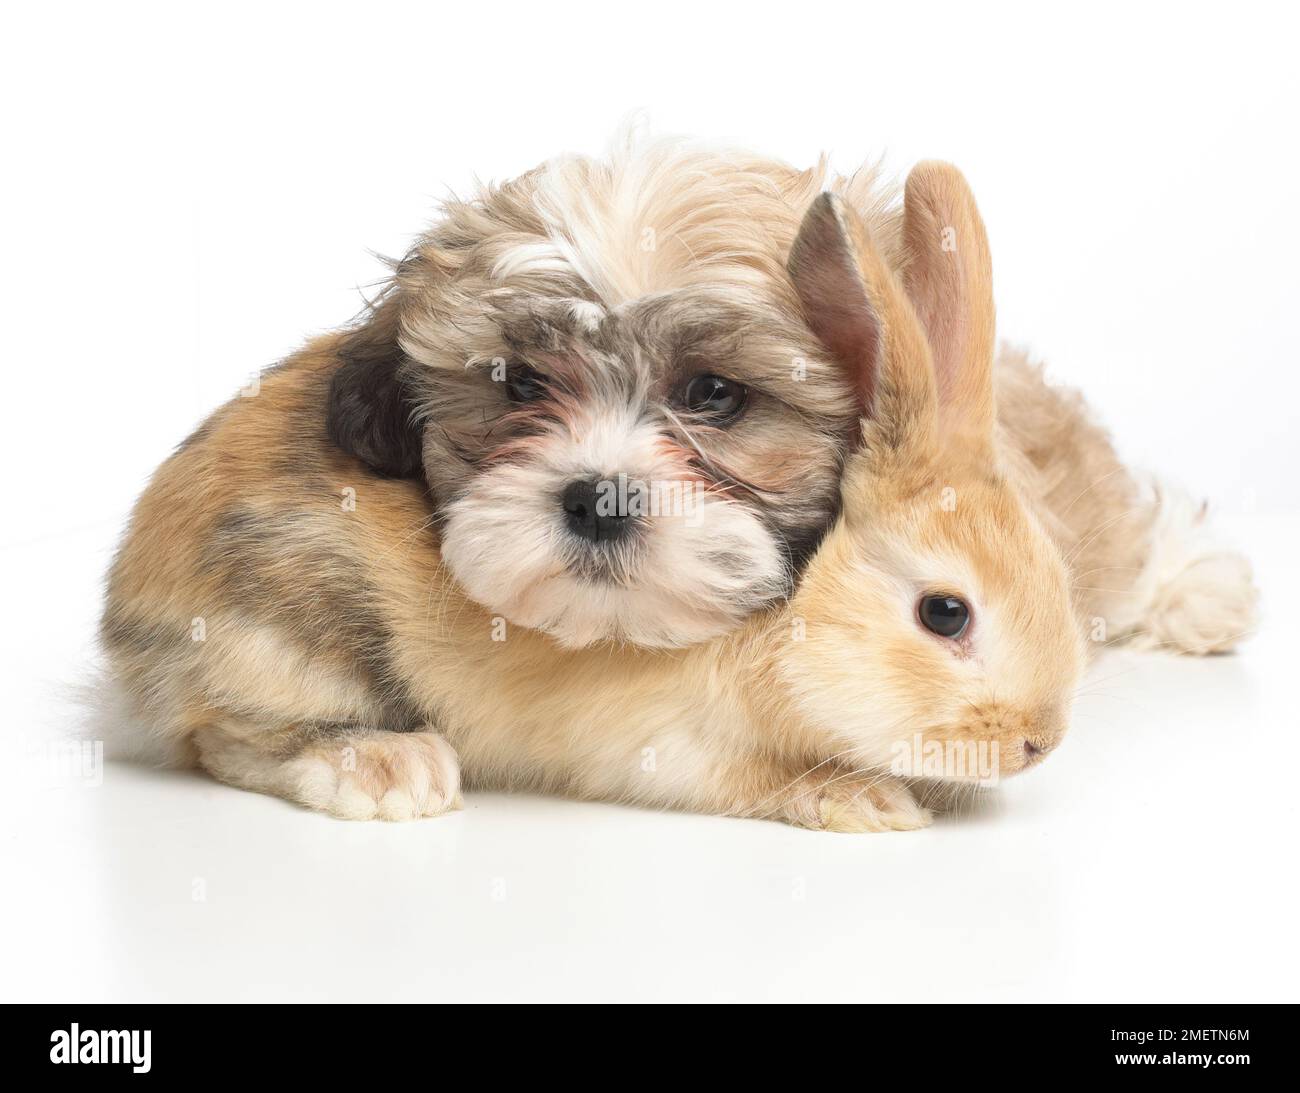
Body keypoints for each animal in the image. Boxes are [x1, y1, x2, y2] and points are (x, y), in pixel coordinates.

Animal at [100, 161, 1096, 830]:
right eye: (944, 613)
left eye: (714, 394)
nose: (1041, 740)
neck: (791, 623)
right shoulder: (667, 749)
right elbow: (756, 778)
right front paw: (859, 795)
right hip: (293, 617)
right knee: (221, 733)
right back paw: (385, 762)